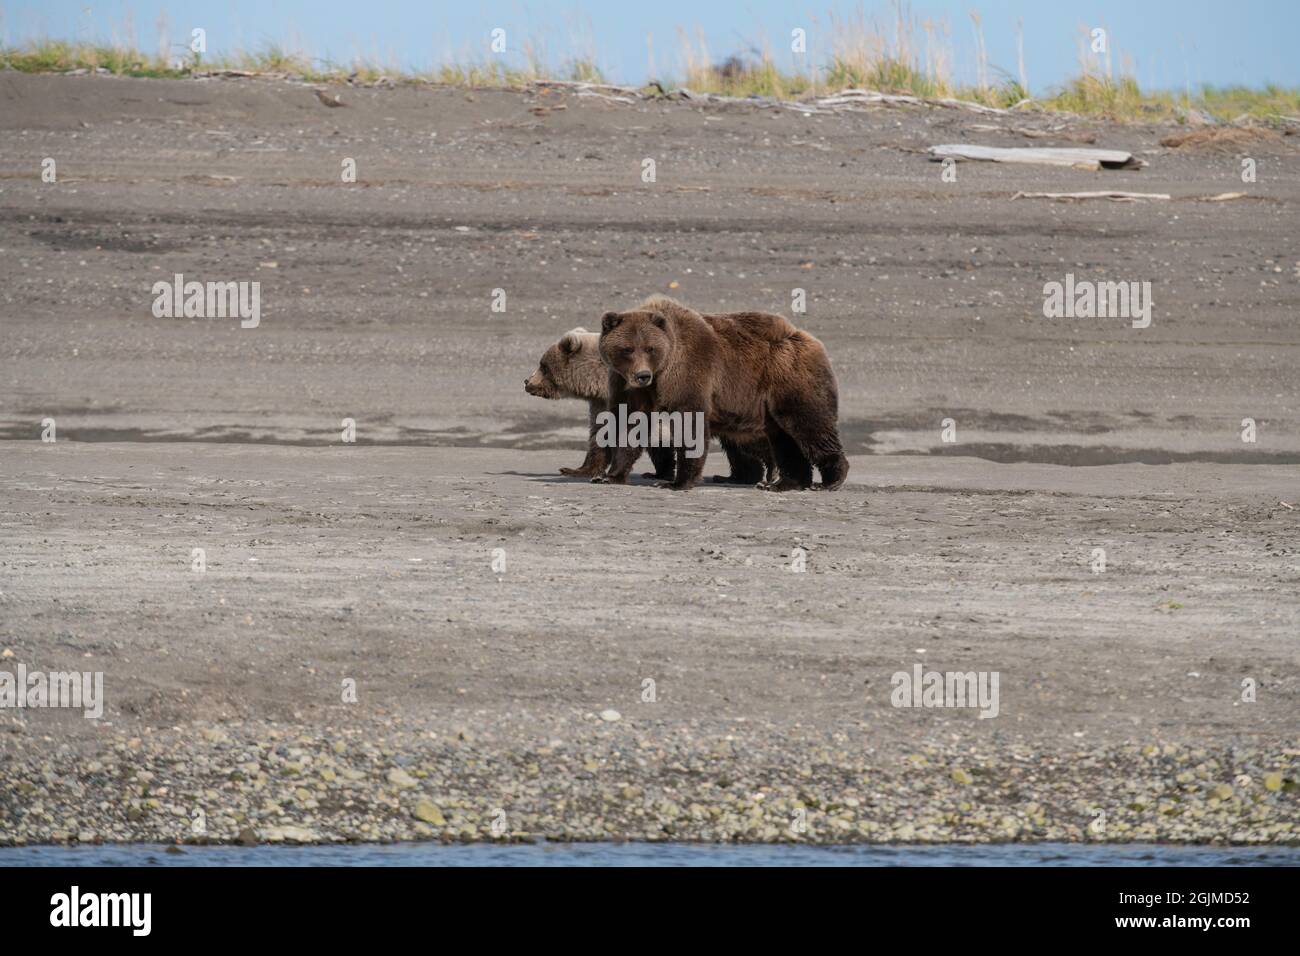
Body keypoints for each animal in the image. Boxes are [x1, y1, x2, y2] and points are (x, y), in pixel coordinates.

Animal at [525, 327, 774, 483]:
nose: (527, 382)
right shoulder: (603, 402)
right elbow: (601, 434)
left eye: (542, 365)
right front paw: (576, 469)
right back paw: (735, 476)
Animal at [594, 296, 848, 492]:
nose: (642, 375)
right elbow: (629, 424)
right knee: (785, 438)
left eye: (650, 348)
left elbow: (689, 422)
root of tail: (808, 338)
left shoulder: (687, 373)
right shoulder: (627, 386)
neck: (660, 373)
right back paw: (783, 483)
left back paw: (829, 480)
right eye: (627, 349)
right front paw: (609, 475)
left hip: (790, 380)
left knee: (809, 425)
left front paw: (676, 482)